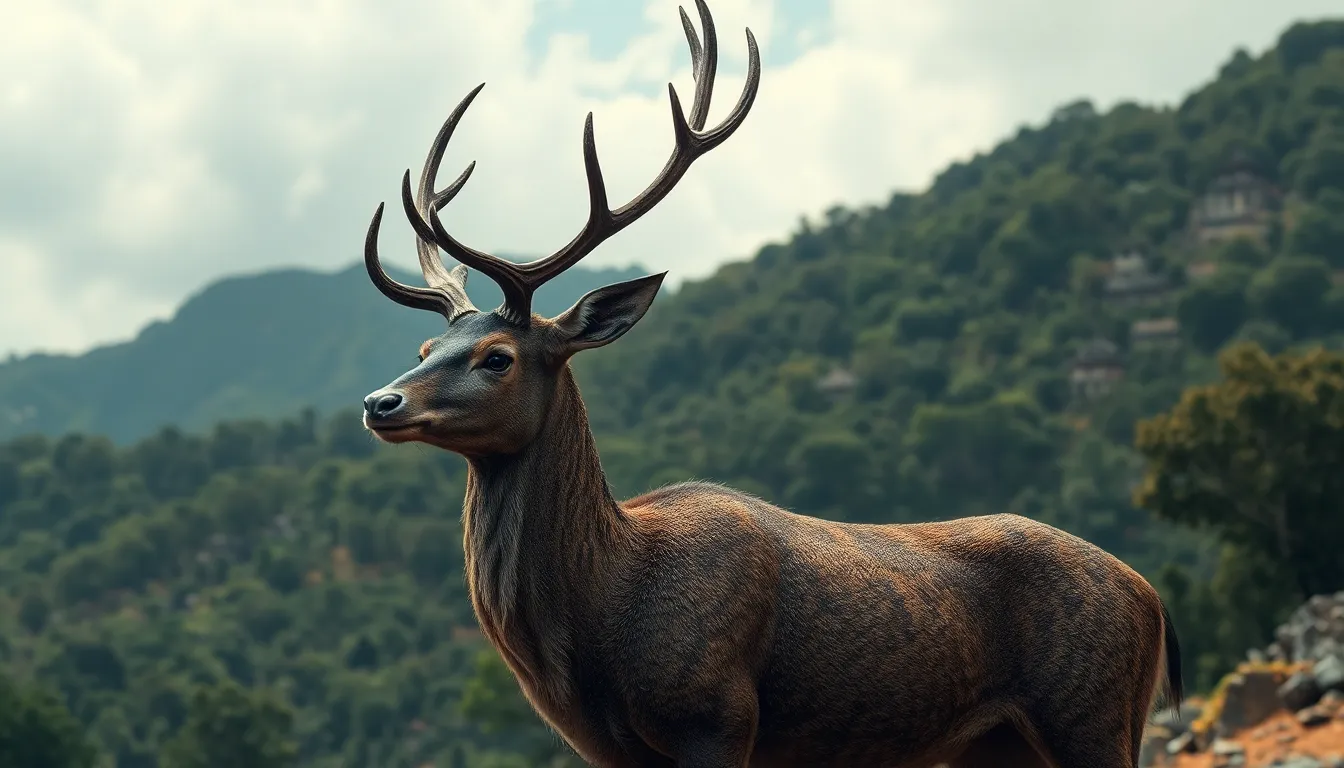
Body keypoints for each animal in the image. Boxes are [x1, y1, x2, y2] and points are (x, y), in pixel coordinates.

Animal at [359, 2, 1182, 766]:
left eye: (497, 356)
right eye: (429, 344)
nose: (379, 402)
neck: (605, 618)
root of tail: (1155, 600)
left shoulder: (717, 713)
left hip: (1093, 713)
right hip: (999, 741)